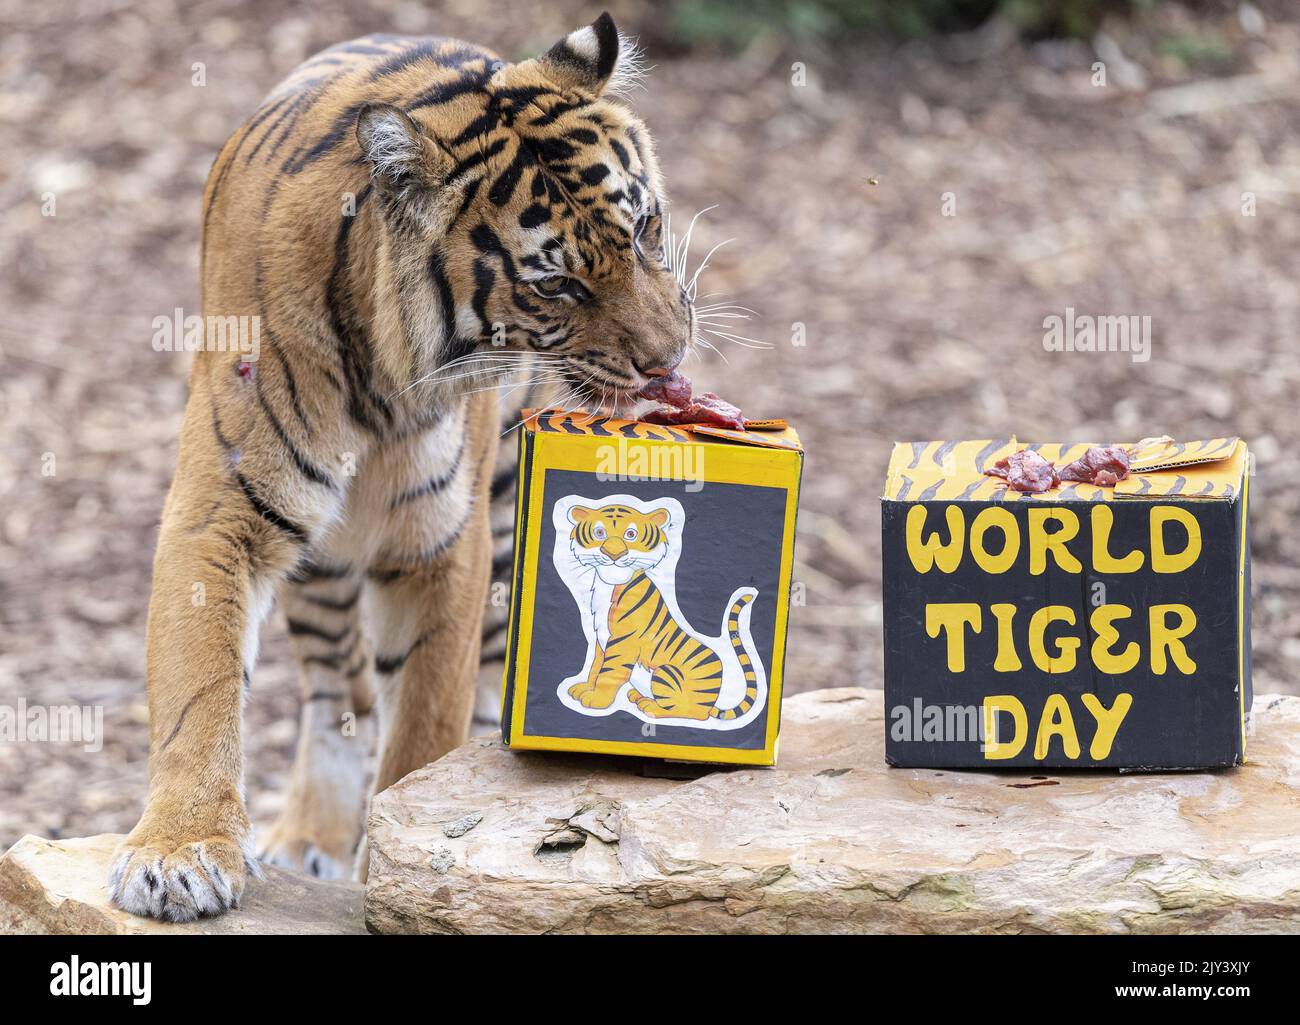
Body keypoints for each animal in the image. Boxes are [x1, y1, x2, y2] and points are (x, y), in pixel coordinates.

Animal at [110, 13, 695, 922]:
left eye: (643, 231)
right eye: (555, 284)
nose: (670, 361)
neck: (383, 379)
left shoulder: (444, 545)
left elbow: (425, 727)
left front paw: (401, 868)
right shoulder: (223, 511)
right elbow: (198, 690)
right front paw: (178, 852)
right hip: (319, 568)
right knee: (334, 694)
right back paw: (308, 833)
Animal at [563, 503, 763, 723]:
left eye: (630, 534)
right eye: (599, 533)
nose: (613, 554)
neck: (610, 582)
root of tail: (712, 704)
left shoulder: (623, 641)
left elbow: (609, 672)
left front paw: (597, 700)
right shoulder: (602, 640)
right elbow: (596, 666)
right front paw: (584, 688)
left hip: (665, 672)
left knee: (690, 712)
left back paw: (650, 706)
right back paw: (638, 696)